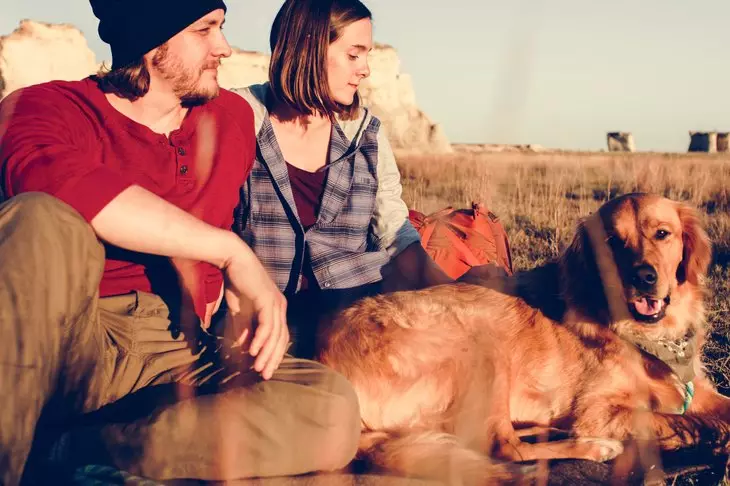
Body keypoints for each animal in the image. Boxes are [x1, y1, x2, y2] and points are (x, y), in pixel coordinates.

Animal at [314, 195, 728, 486]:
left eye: (663, 233)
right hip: (483, 343)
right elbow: (680, 420)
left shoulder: (697, 389)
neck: (650, 335)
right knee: (502, 448)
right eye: (612, 242)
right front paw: (702, 437)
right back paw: (592, 447)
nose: (644, 277)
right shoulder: (599, 412)